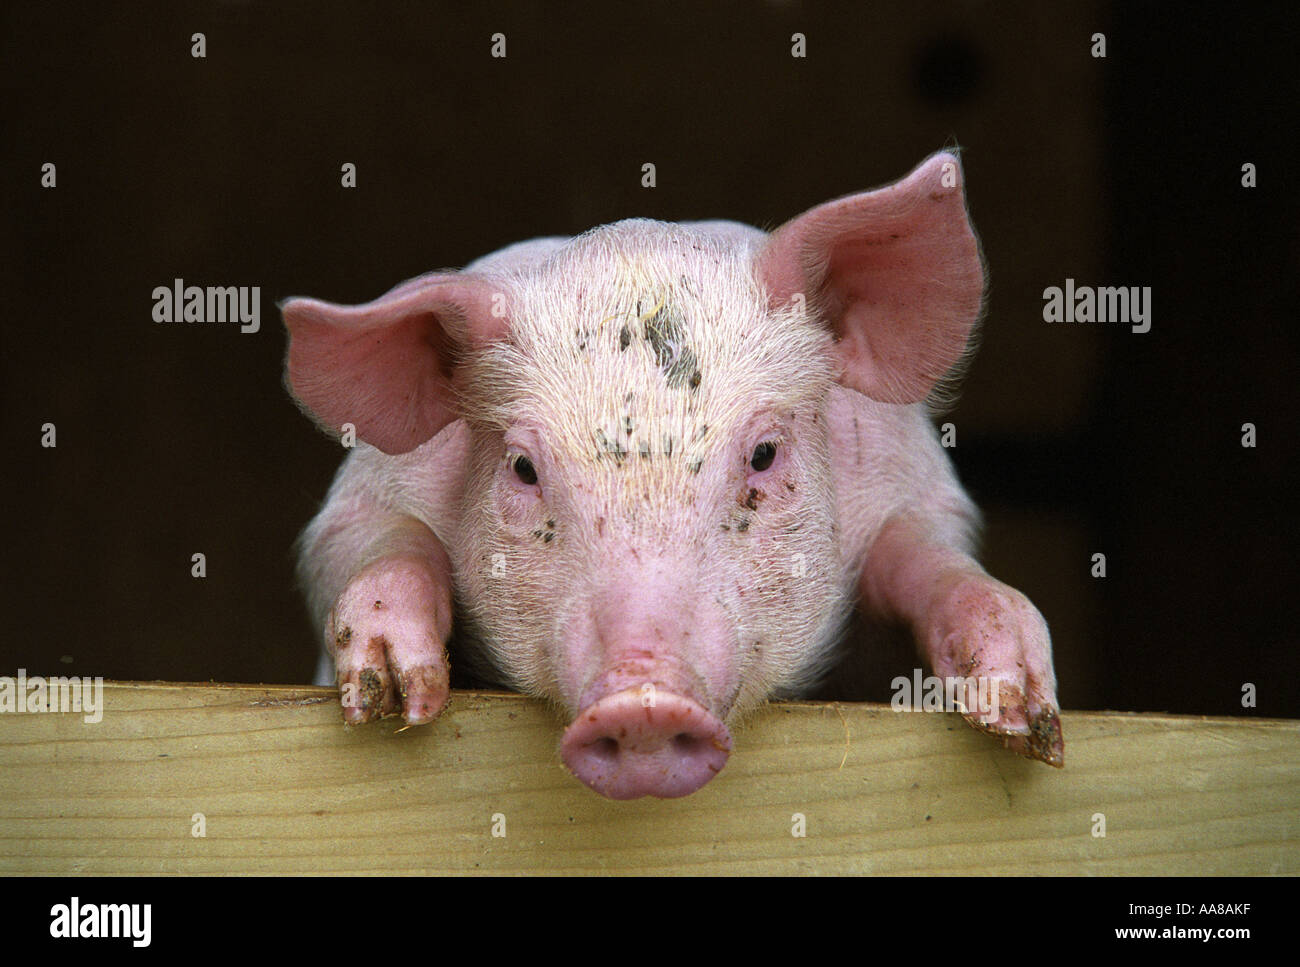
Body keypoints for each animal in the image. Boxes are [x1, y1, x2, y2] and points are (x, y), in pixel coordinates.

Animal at [282, 151, 1062, 800]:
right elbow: (373, 547)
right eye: (524, 468)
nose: (643, 702)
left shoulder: (917, 484)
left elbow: (928, 558)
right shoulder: (362, 498)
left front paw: (1020, 713)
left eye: (765, 454)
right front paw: (390, 697)